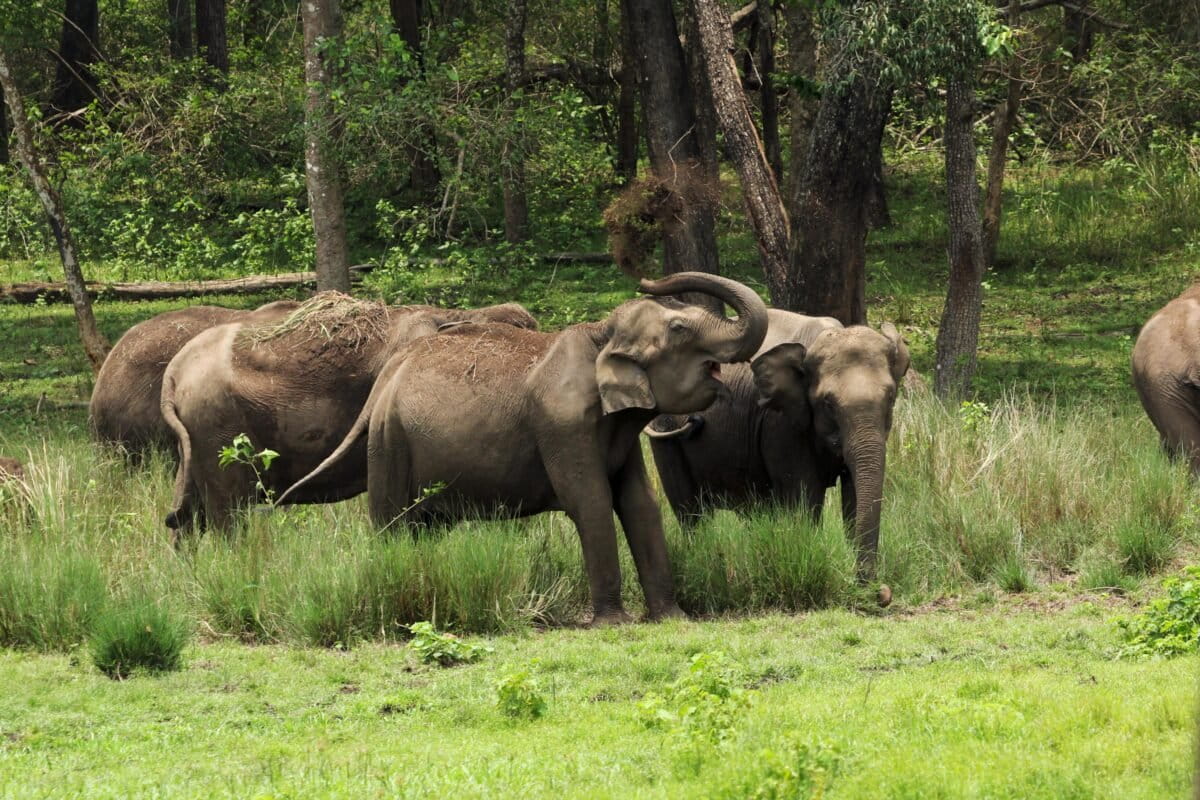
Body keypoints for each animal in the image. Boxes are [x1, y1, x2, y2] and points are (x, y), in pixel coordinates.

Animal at [160, 293, 539, 533]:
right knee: (227, 510)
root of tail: (174, 373)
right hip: (217, 424)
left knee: (188, 509)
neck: (452, 313)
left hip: (197, 433)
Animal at [276, 272, 769, 624]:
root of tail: (384, 381)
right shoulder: (561, 422)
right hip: (388, 444)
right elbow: (590, 501)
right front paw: (613, 623)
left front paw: (671, 618)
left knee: (426, 528)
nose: (648, 279)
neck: (599, 335)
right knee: (392, 524)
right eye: (680, 327)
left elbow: (639, 502)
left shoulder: (620, 428)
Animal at [646, 309, 909, 604]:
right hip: (666, 433)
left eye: (891, 397)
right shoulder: (780, 423)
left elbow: (853, 495)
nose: (881, 592)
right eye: (827, 403)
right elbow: (805, 496)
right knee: (690, 513)